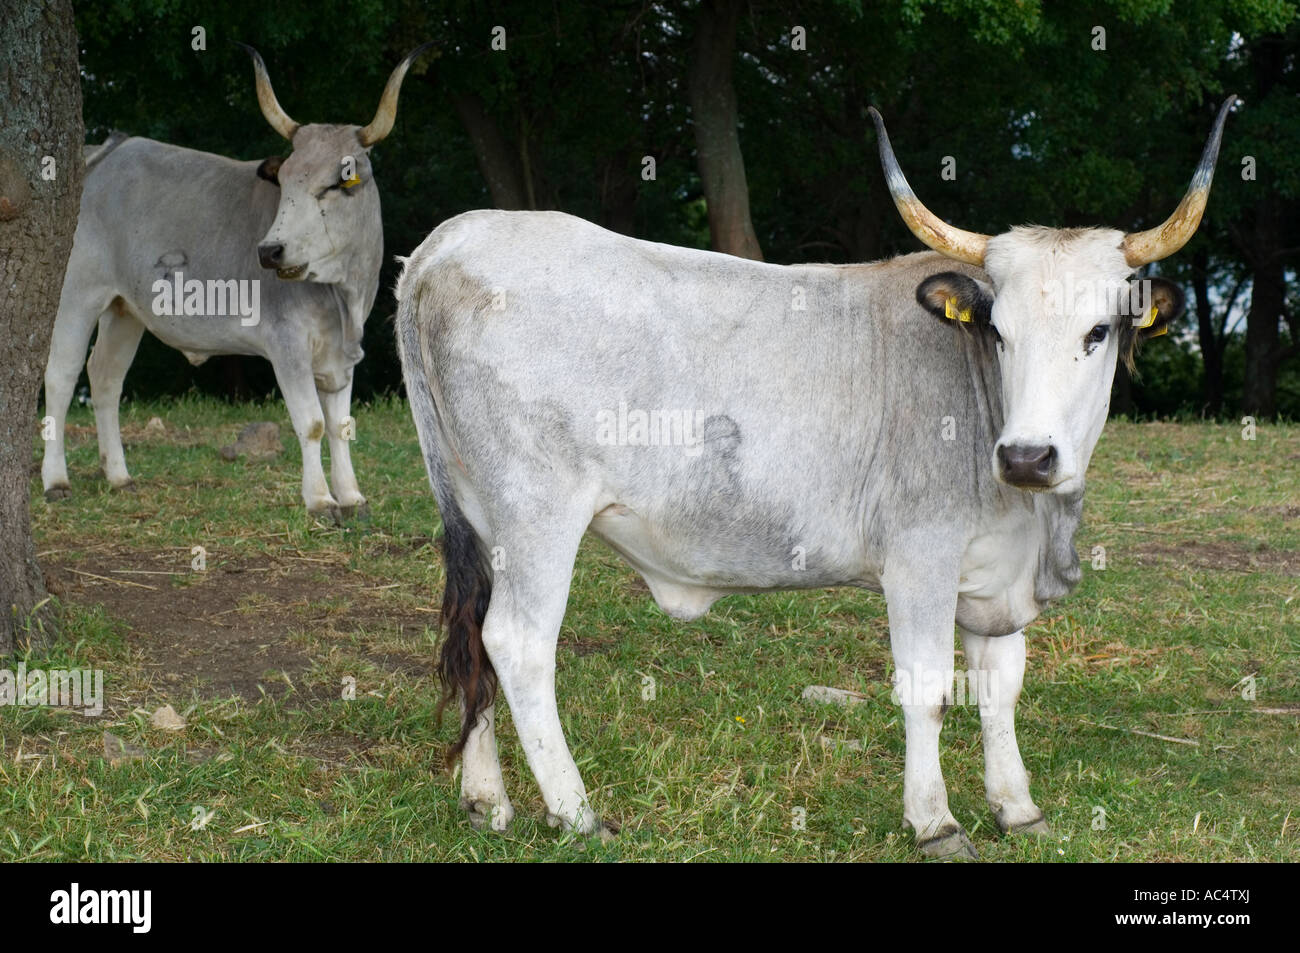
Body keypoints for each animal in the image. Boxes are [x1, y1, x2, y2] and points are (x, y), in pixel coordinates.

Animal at [41, 44, 430, 522]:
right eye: (285, 182)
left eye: (337, 183)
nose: (270, 250)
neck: (343, 299)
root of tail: (107, 150)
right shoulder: (286, 346)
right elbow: (312, 424)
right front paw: (321, 501)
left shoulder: (342, 355)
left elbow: (341, 426)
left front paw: (353, 497)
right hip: (77, 294)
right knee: (61, 377)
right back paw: (56, 481)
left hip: (125, 309)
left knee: (106, 378)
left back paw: (119, 475)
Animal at [395, 98, 1234, 858]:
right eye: (999, 331)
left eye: (1099, 331)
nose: (1026, 456)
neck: (1033, 522)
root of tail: (453, 238)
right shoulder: (920, 560)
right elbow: (927, 688)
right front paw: (935, 821)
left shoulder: (992, 578)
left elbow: (1000, 686)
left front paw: (1018, 808)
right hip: (537, 513)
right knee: (518, 642)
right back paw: (576, 813)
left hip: (482, 515)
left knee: (473, 630)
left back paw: (486, 800)